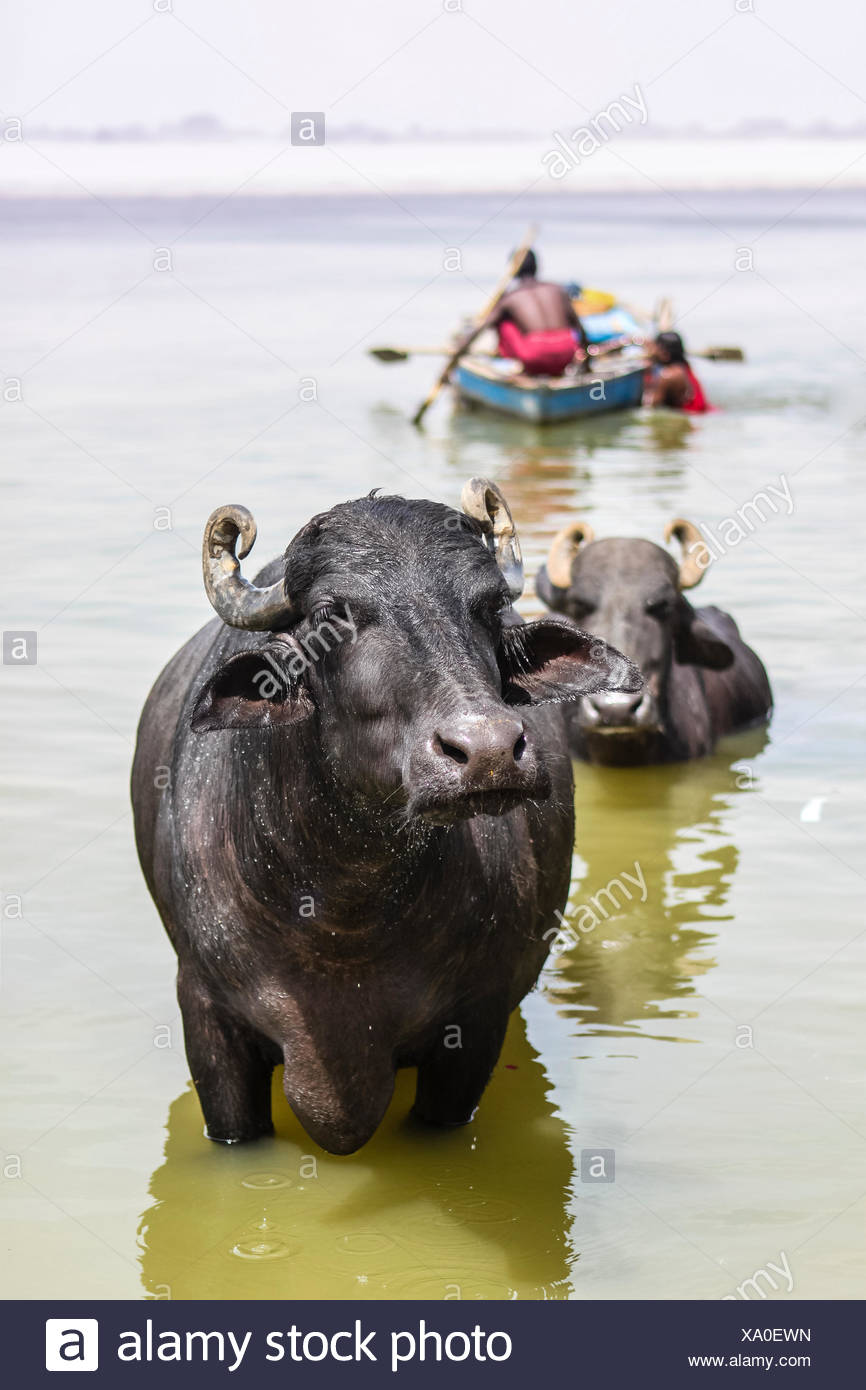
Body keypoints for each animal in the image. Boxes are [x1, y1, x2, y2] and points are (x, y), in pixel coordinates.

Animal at [131, 480, 640, 1154]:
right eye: (331, 616)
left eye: (488, 609)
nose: (488, 751)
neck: (344, 917)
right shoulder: (208, 1020)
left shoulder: (474, 1026)